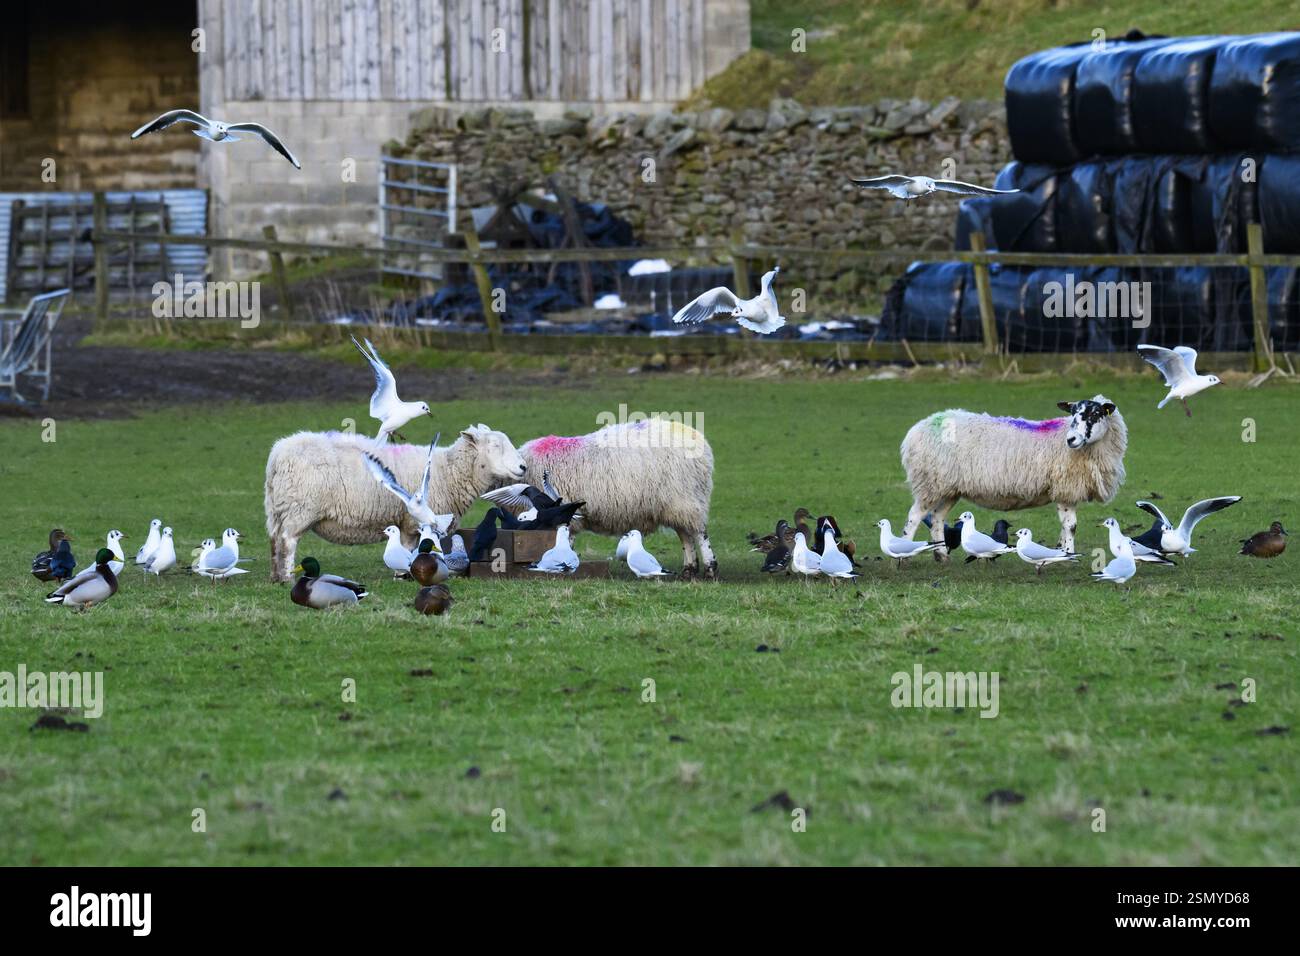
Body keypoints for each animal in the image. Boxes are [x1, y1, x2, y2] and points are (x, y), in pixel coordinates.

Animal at [264, 424, 527, 582]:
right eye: (495, 446)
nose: (523, 467)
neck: (448, 470)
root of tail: (278, 454)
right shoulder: (412, 522)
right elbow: (410, 548)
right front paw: (406, 573)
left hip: (278, 509)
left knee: (275, 540)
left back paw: (275, 577)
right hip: (300, 508)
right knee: (288, 541)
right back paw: (288, 576)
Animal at [518, 417, 717, 579]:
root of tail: (698, 438)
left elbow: (566, 539)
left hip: (687, 499)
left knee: (700, 534)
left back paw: (710, 569)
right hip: (676, 506)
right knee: (686, 536)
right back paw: (689, 570)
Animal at [899, 395, 1127, 556]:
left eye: (1095, 413)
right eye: (1072, 413)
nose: (1071, 440)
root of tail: (916, 430)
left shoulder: (1068, 490)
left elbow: (1065, 527)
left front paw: (1060, 549)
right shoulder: (1065, 488)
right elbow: (1071, 526)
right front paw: (1068, 554)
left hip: (947, 488)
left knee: (937, 517)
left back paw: (941, 556)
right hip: (929, 482)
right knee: (914, 517)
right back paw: (904, 554)